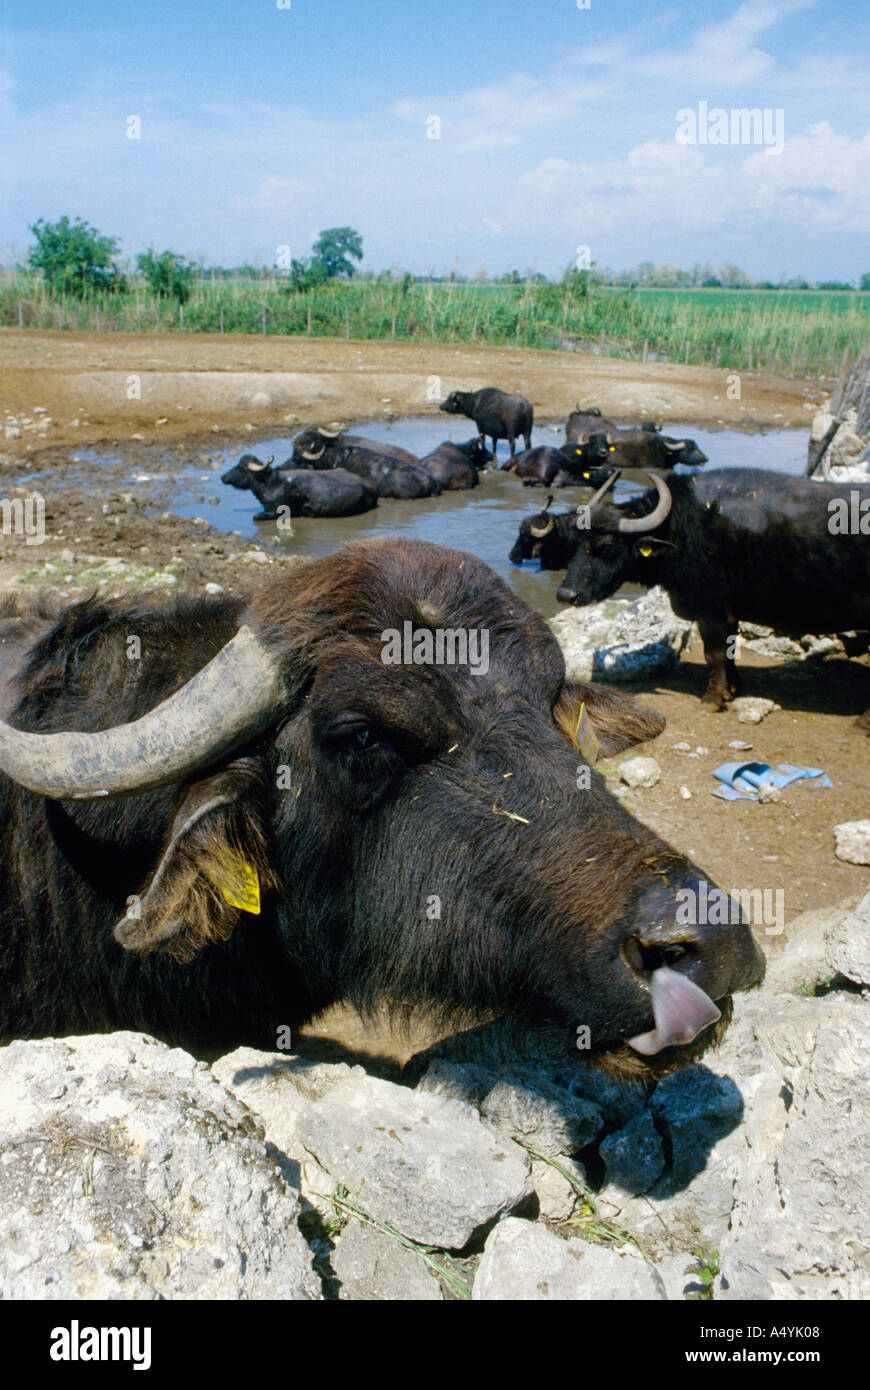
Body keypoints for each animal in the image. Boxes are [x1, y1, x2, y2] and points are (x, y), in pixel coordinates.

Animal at [555, 468, 870, 723]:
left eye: (607, 546)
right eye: (579, 540)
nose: (565, 594)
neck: (683, 526)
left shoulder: (712, 609)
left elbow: (715, 653)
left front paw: (712, 700)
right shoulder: (728, 612)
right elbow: (729, 650)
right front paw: (732, 690)